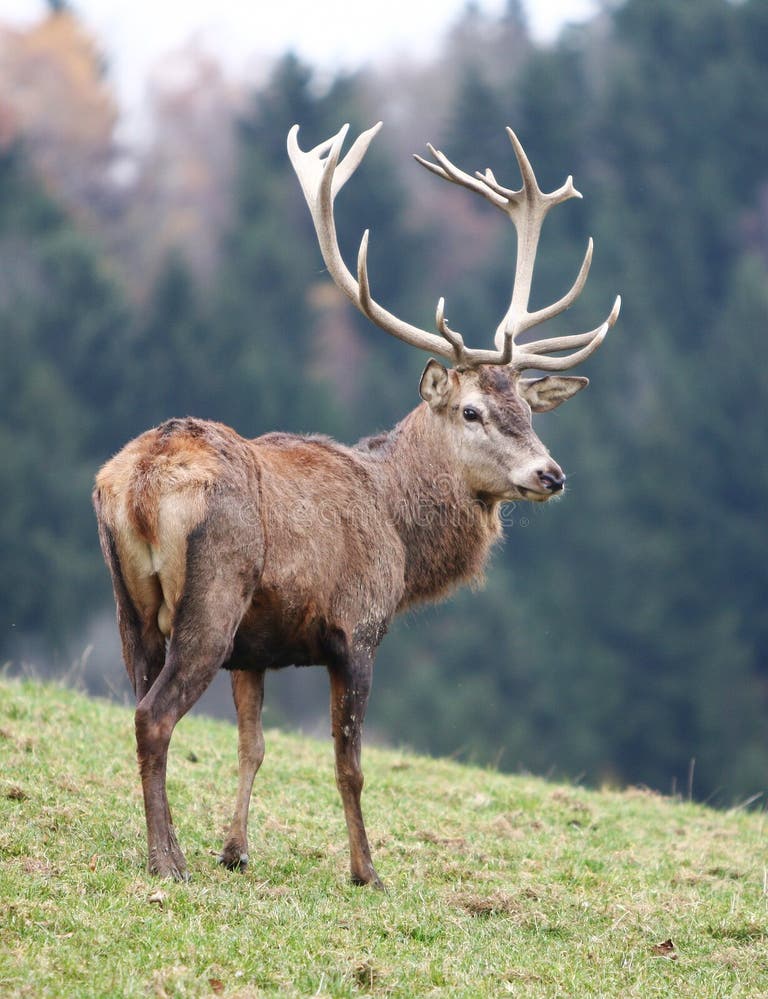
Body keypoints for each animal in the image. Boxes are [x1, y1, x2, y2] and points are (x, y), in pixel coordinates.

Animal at [93, 122, 620, 889]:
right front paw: (367, 869)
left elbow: (253, 745)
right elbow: (350, 764)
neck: (401, 533)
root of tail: (137, 482)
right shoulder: (358, 627)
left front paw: (236, 849)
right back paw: (168, 860)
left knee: (136, 702)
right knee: (153, 716)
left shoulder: (257, 648)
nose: (550, 474)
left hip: (129, 605)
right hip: (212, 597)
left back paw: (164, 846)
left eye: (527, 410)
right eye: (471, 411)